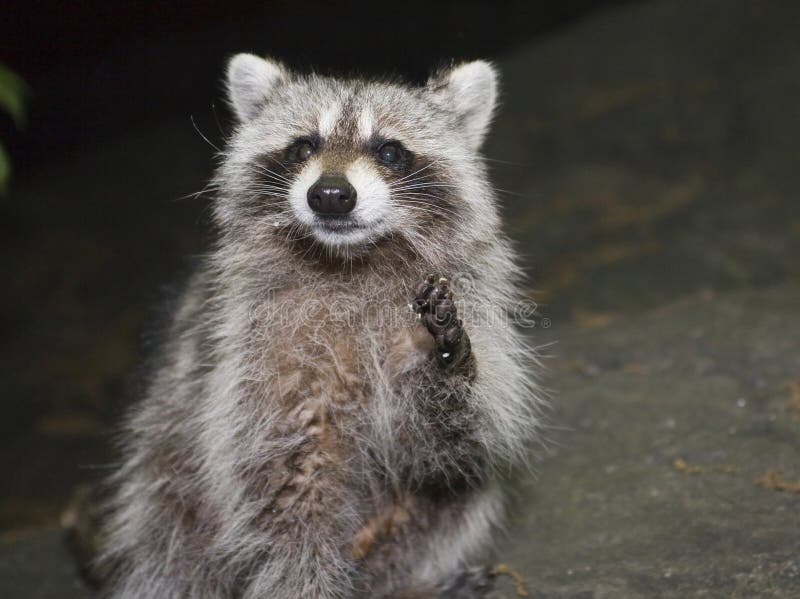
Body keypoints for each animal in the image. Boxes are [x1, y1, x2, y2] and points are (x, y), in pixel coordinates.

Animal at [95, 54, 543, 598]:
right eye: (303, 146)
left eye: (390, 151)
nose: (330, 195)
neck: (347, 261)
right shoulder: (253, 367)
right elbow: (289, 500)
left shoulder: (470, 305)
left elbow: (446, 447)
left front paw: (446, 361)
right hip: (162, 473)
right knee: (169, 543)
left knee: (464, 496)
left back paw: (407, 583)